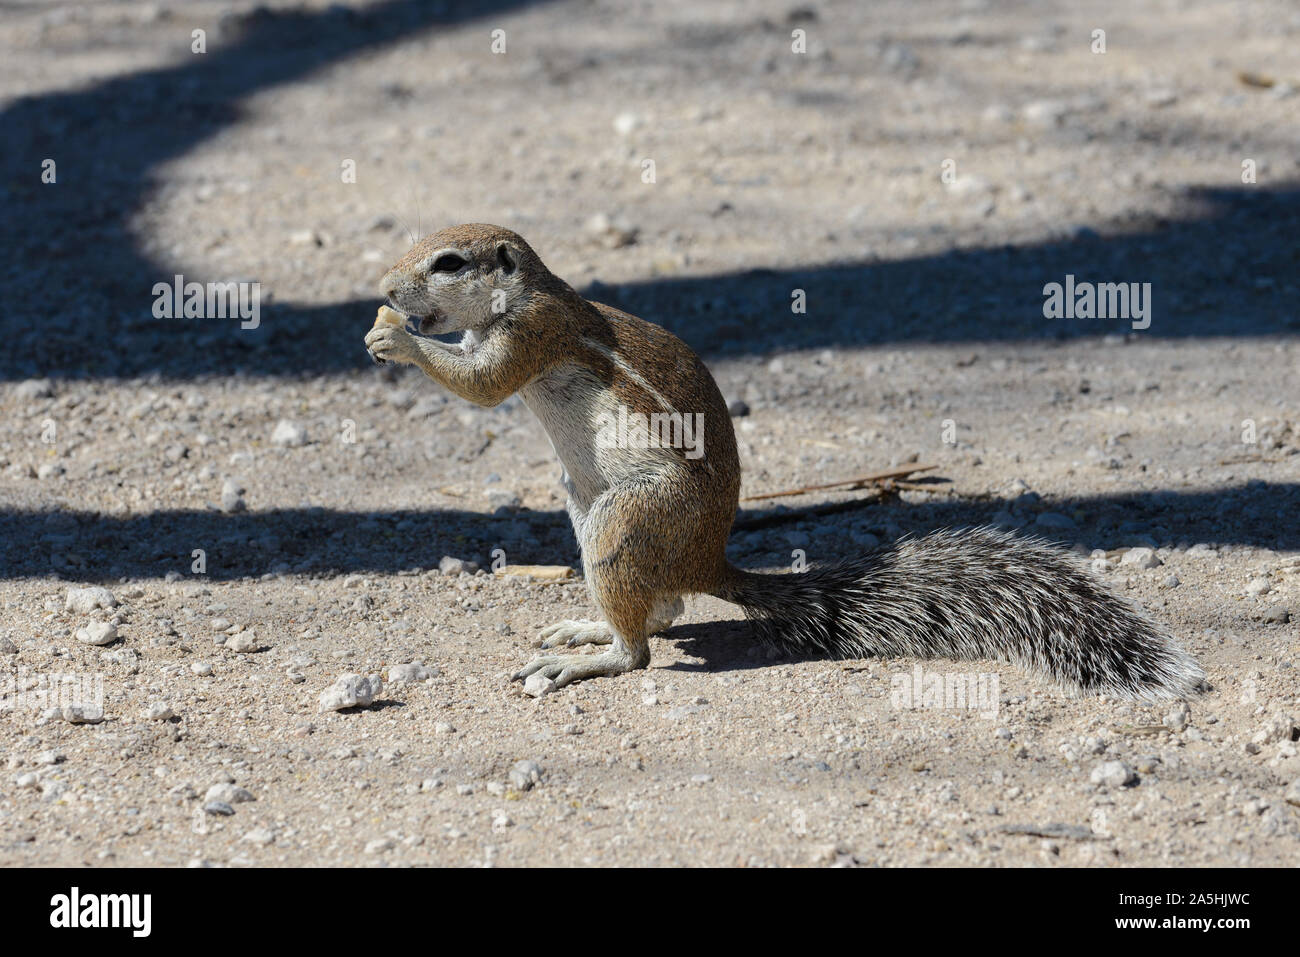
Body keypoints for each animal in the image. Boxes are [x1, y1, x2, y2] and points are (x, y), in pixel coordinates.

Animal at [365, 223, 1204, 701]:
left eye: (449, 261)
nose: (385, 288)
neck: (521, 293)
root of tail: (708, 559)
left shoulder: (532, 332)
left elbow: (483, 383)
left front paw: (395, 337)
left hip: (623, 518)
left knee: (642, 646)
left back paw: (590, 660)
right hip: (581, 498)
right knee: (665, 609)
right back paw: (584, 627)